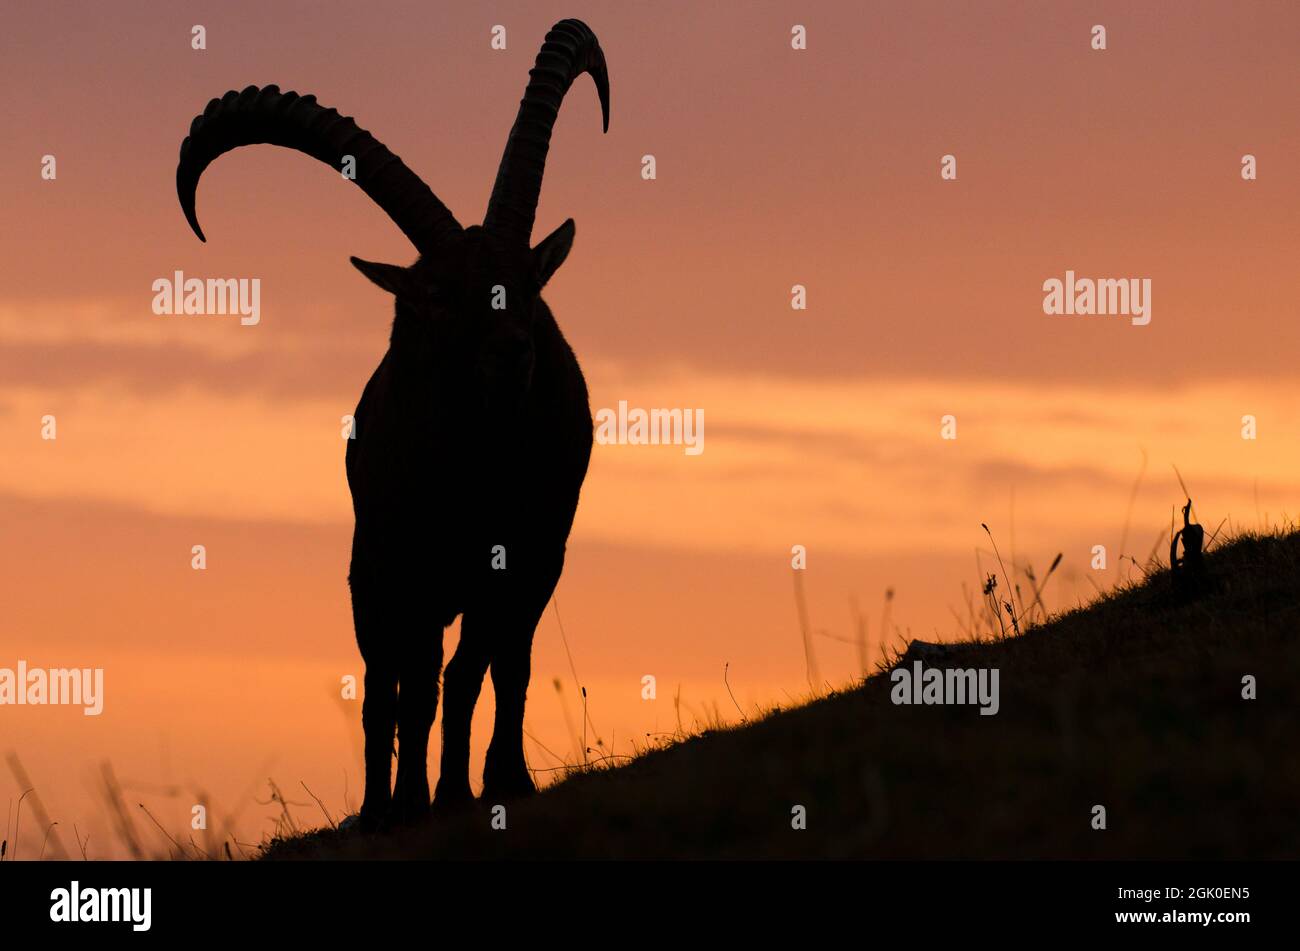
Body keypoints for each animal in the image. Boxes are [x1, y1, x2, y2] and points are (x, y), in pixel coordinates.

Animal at [174, 18, 609, 828]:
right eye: (438, 293)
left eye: (528, 281)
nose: (513, 352)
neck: (481, 459)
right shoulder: (407, 557)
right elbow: (417, 684)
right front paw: (414, 800)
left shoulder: (533, 552)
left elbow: (497, 665)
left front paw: (496, 784)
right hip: (370, 573)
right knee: (386, 686)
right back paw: (380, 807)